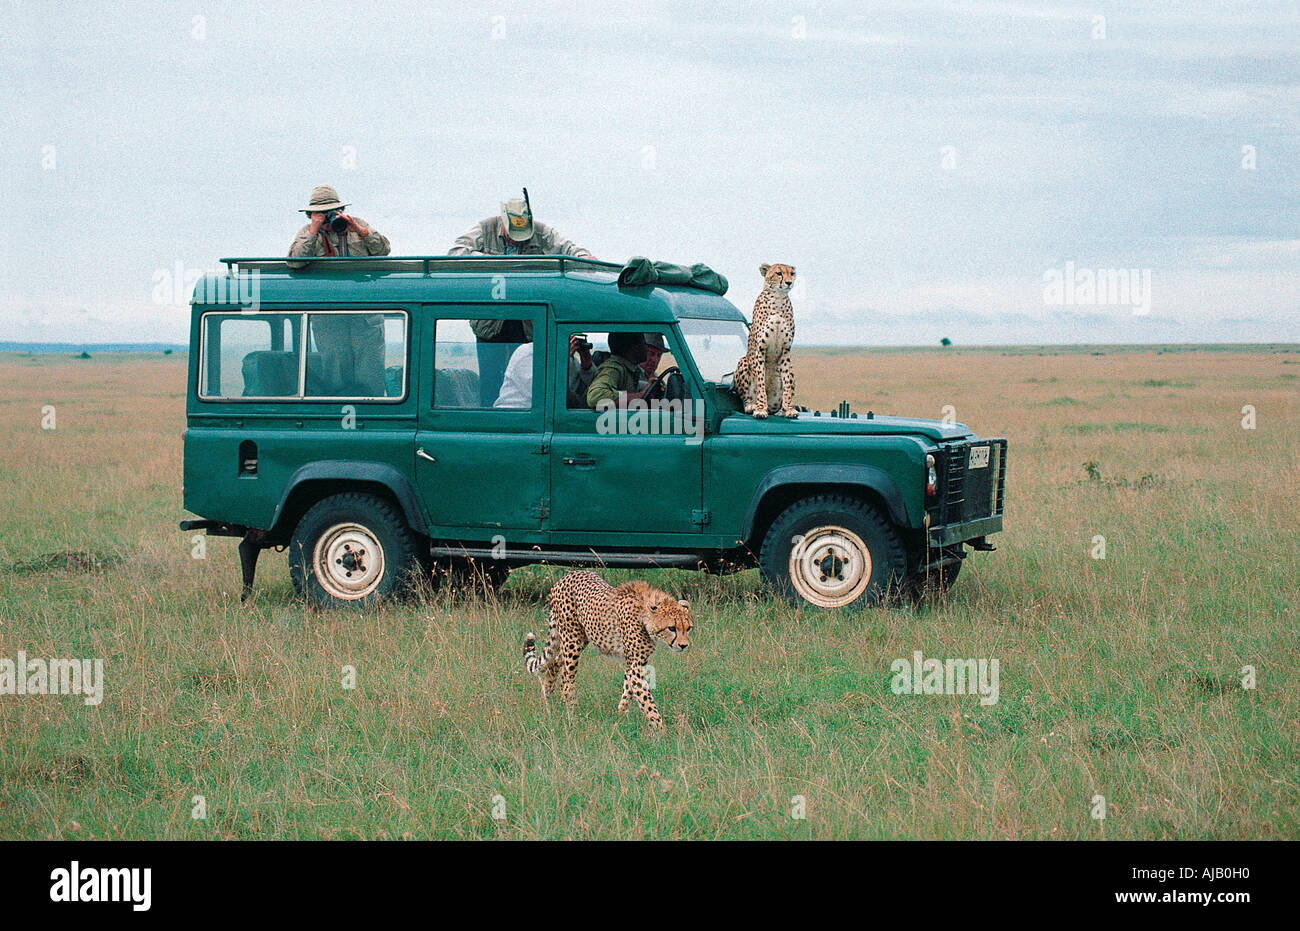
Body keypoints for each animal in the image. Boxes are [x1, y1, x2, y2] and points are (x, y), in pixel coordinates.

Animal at [523, 570, 692, 730]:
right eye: (672, 628)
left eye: (688, 628)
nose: (684, 645)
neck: (645, 617)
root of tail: (566, 576)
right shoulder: (636, 664)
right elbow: (645, 698)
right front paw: (660, 730)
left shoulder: (636, 663)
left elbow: (628, 689)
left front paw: (621, 715)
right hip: (572, 642)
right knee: (566, 679)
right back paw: (572, 714)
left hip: (579, 638)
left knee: (555, 661)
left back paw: (547, 699)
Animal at [733, 263, 798, 419]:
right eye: (779, 273)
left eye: (792, 273)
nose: (789, 282)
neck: (778, 299)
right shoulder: (760, 349)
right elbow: (761, 382)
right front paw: (761, 408)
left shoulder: (786, 350)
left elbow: (787, 383)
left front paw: (788, 408)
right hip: (743, 361)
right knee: (746, 397)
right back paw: (751, 405)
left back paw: (780, 410)